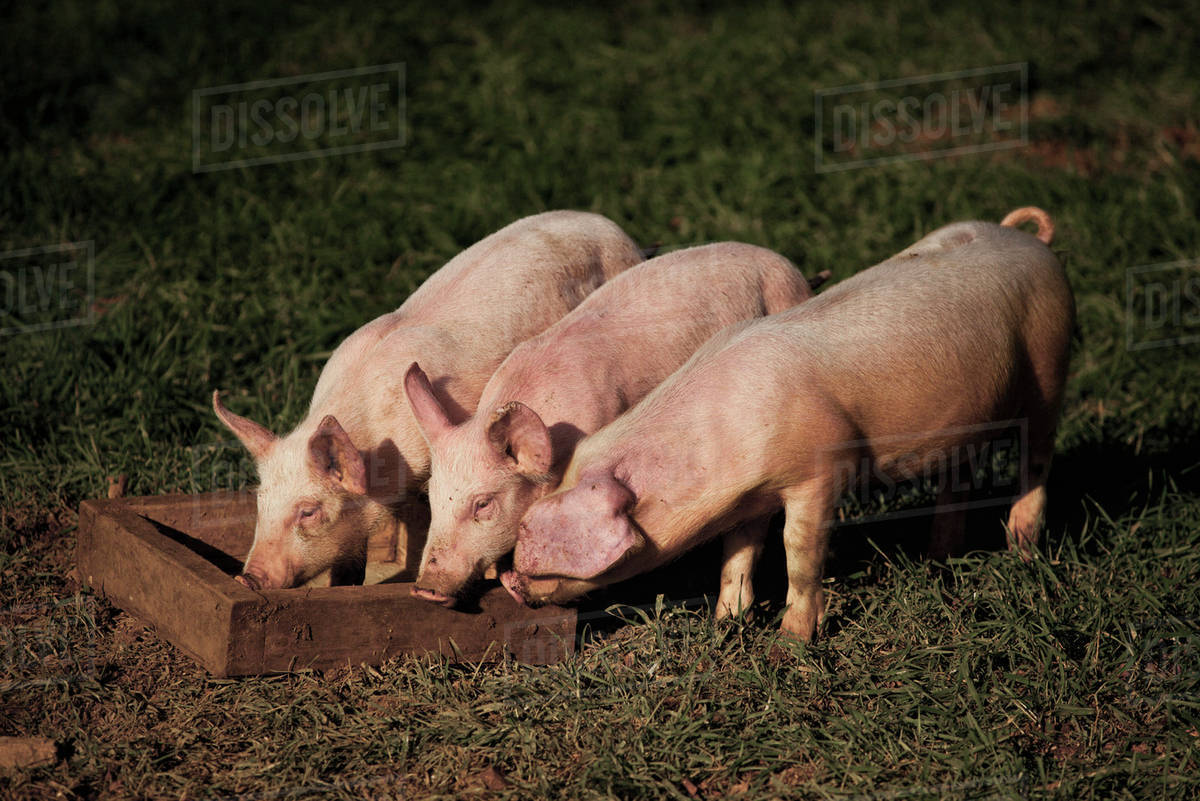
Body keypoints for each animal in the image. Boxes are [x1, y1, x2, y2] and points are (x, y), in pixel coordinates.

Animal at [504, 207, 1074, 641]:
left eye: (531, 533)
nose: (508, 579)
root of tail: (1030, 238)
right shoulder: (748, 497)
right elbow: (737, 555)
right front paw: (725, 626)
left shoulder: (817, 472)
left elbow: (798, 554)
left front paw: (791, 643)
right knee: (960, 476)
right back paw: (939, 555)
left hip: (1050, 363)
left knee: (1038, 457)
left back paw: (1022, 550)